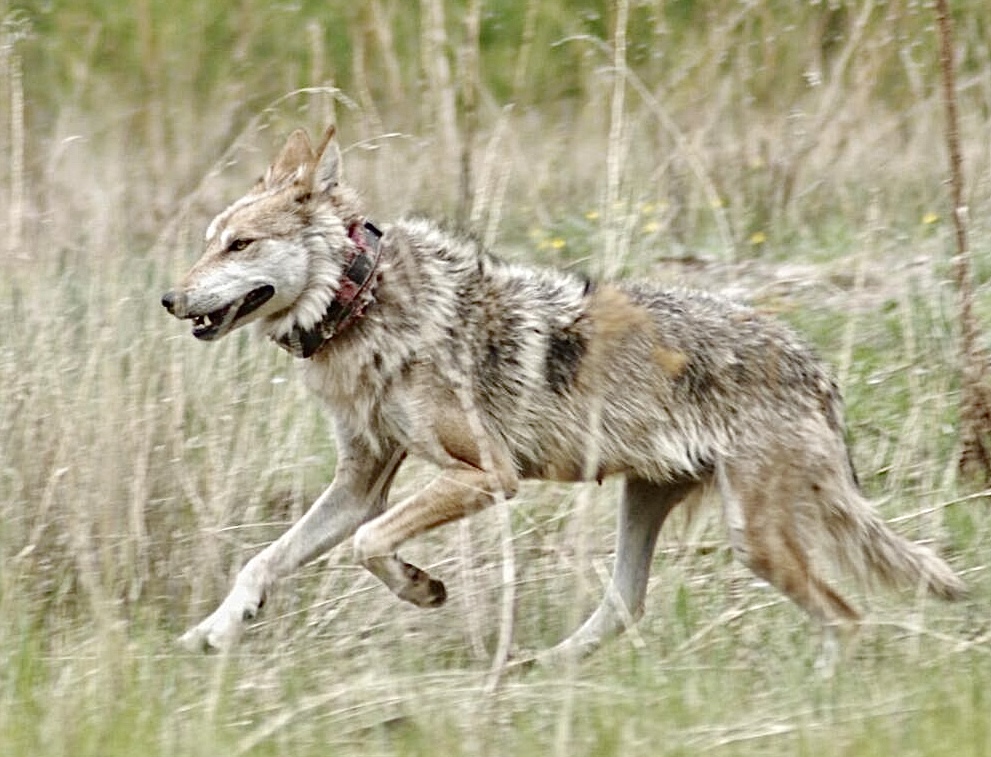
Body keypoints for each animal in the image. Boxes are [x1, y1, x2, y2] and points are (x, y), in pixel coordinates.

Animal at [162, 124, 965, 668]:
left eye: (239, 245)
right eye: (207, 241)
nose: (168, 299)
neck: (362, 305)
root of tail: (817, 368)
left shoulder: (485, 476)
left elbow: (369, 546)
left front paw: (421, 589)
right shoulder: (362, 482)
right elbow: (262, 561)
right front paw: (216, 629)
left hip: (753, 538)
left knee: (846, 616)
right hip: (648, 505)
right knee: (625, 605)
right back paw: (539, 670)